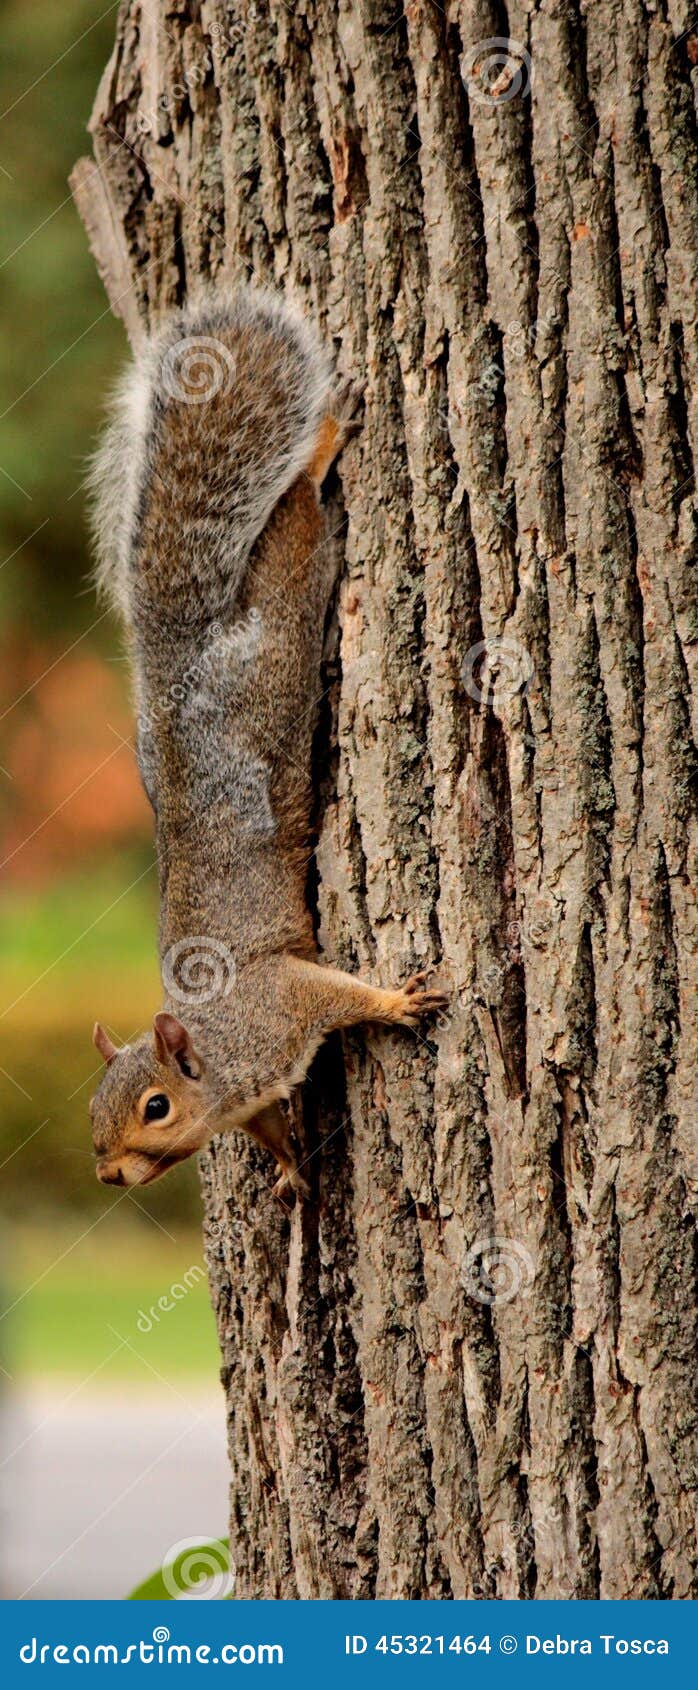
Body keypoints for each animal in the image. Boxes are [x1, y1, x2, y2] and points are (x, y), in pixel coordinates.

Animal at [88, 286, 447, 1200]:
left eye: (154, 1108)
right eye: (92, 1111)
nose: (108, 1177)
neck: (218, 1061)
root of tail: (180, 663)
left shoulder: (281, 1003)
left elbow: (337, 995)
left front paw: (397, 1003)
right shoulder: (247, 1103)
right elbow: (270, 1131)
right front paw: (290, 1173)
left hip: (280, 653)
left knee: (294, 530)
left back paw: (323, 443)